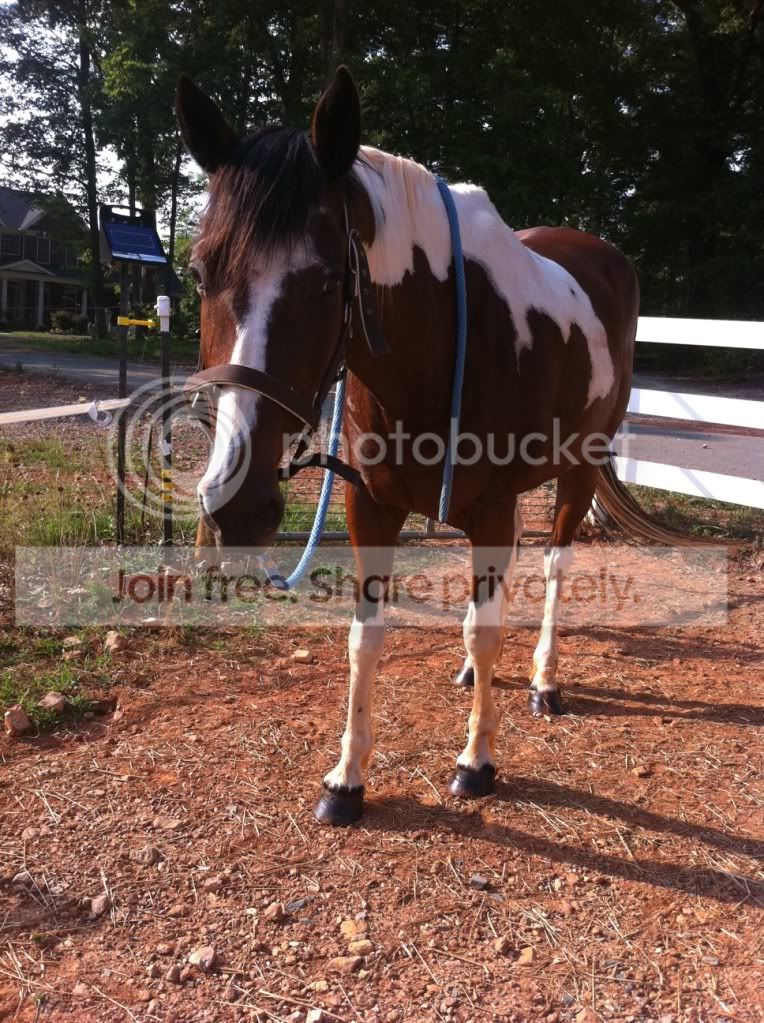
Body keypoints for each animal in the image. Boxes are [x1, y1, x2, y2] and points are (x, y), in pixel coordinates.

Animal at [176, 66, 649, 826]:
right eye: (199, 272)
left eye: (327, 278)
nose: (235, 508)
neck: (442, 337)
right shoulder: (371, 505)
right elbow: (367, 635)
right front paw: (346, 778)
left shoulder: (490, 509)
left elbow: (489, 625)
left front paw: (477, 761)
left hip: (580, 465)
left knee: (554, 566)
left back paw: (545, 679)